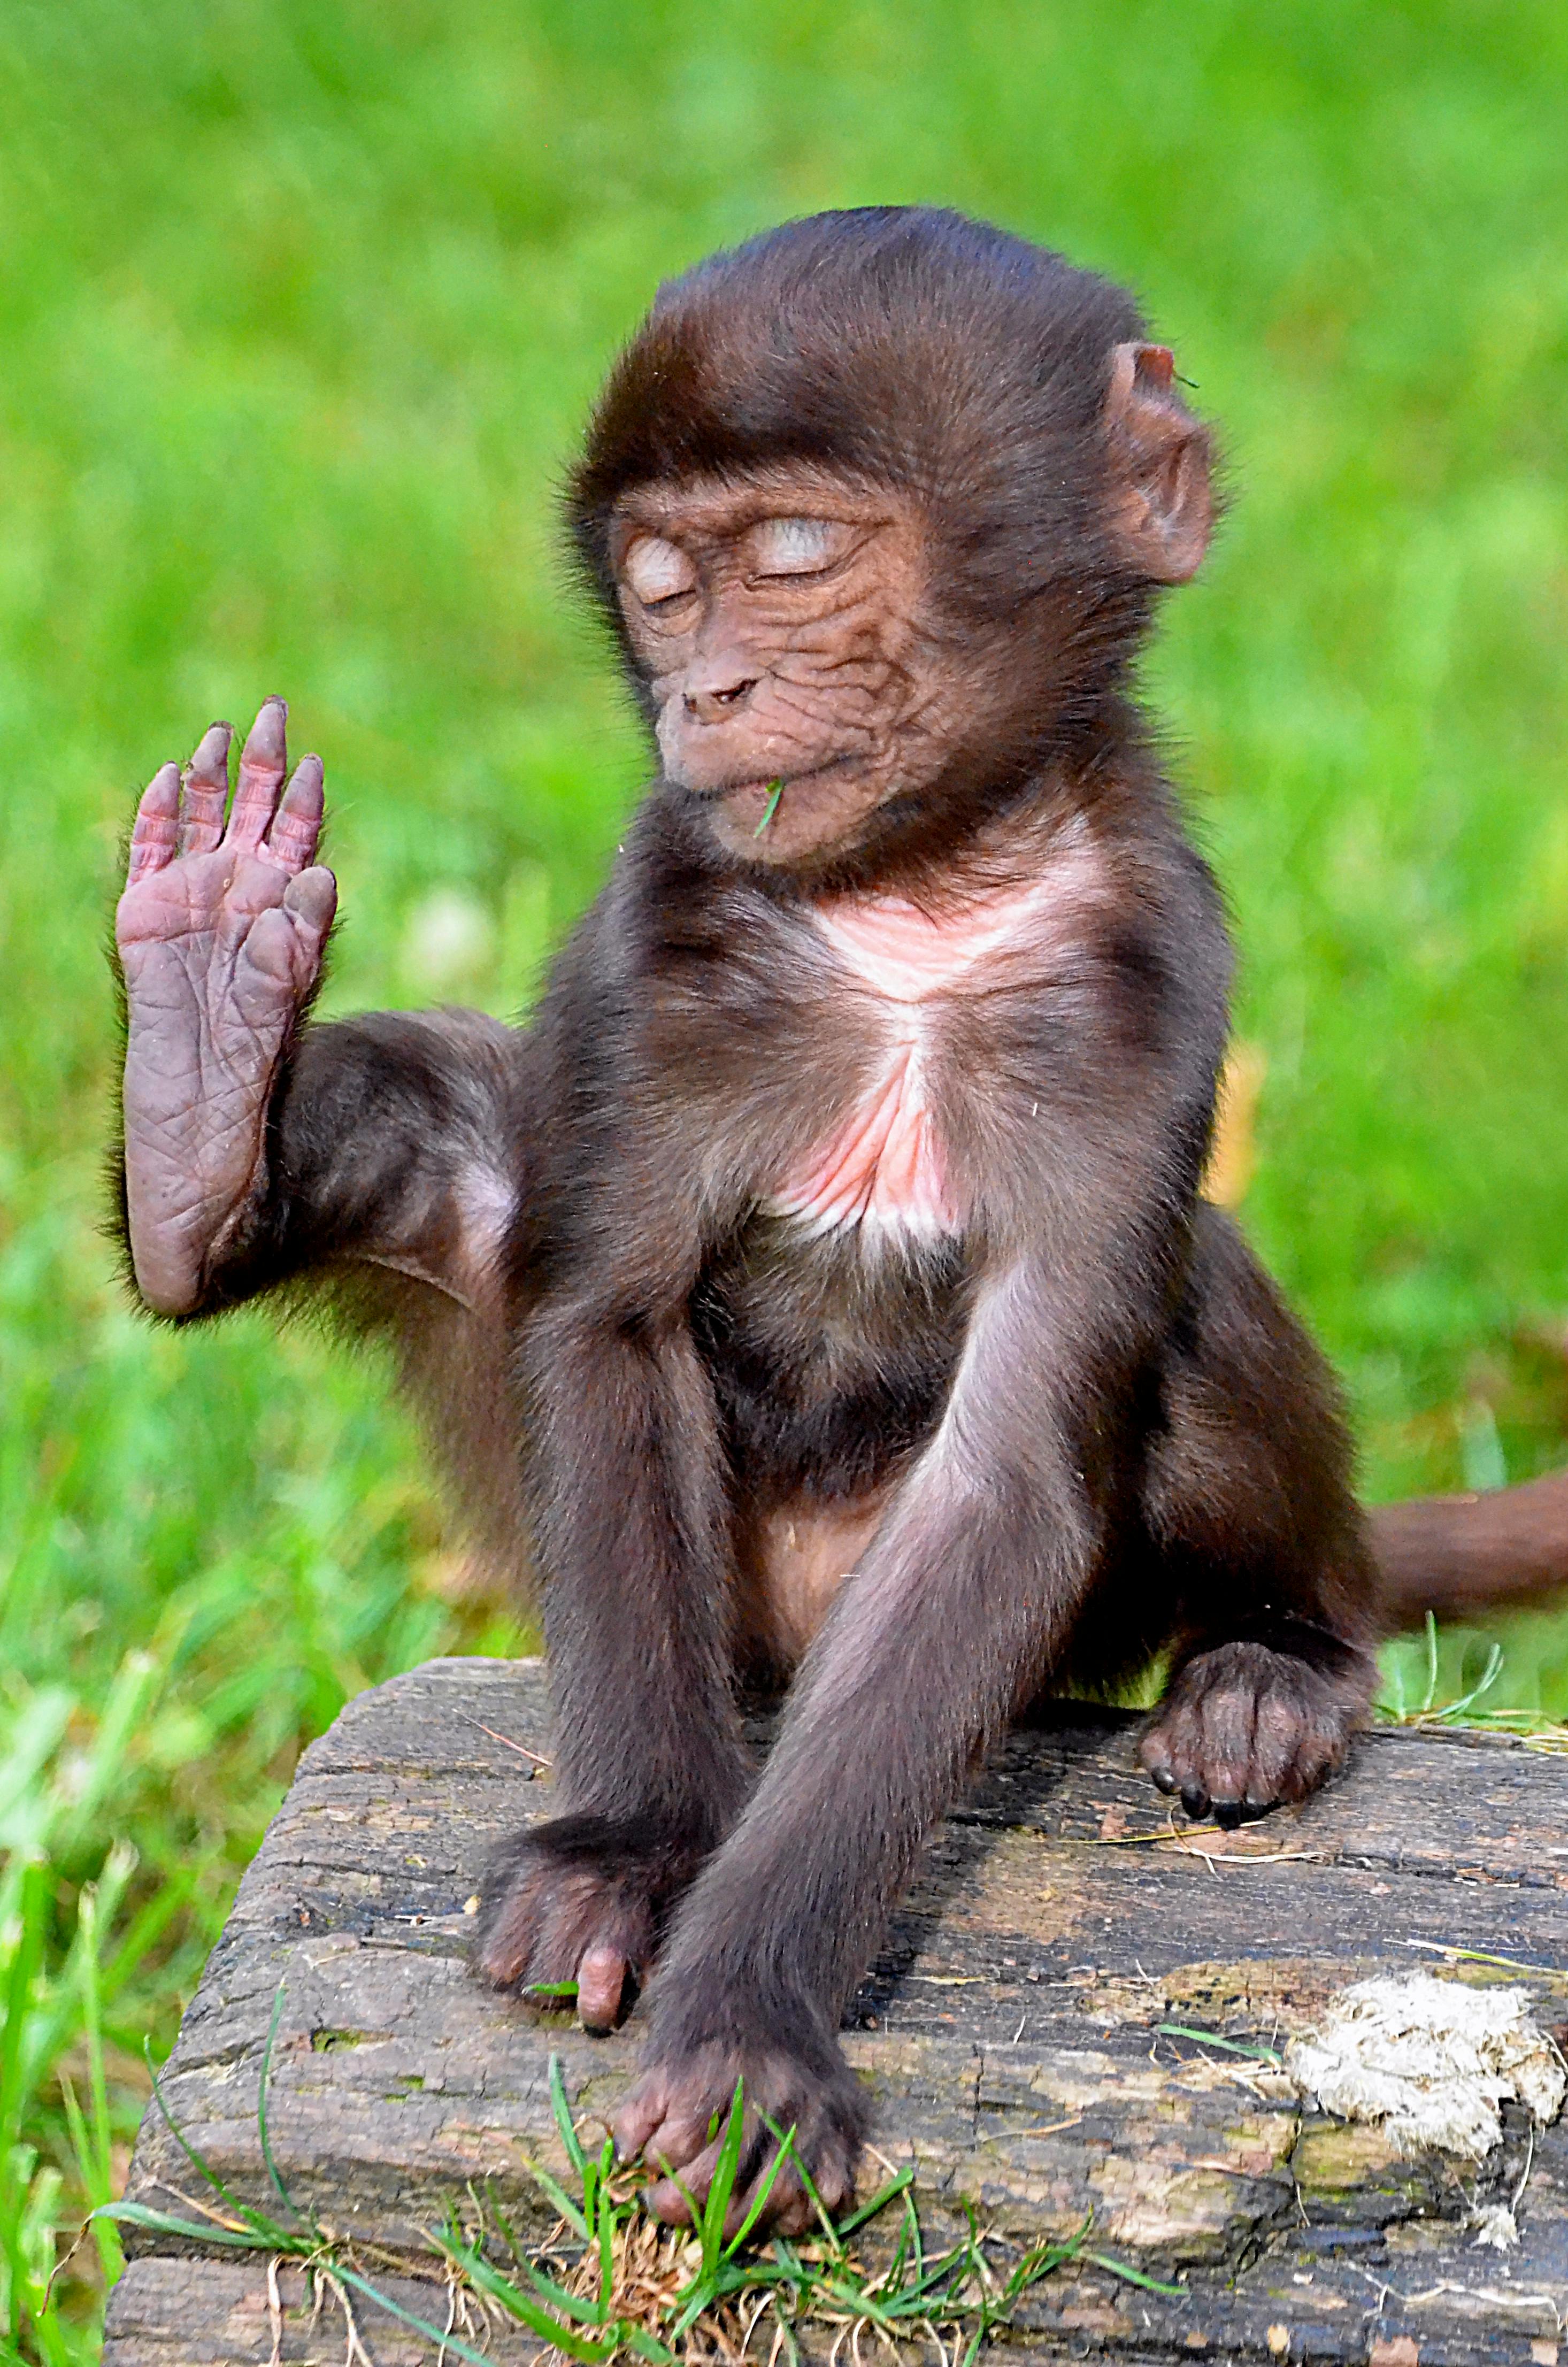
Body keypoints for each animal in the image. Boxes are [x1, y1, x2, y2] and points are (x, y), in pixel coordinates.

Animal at [111, 207, 1568, 2237]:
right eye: (658, 585)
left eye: (794, 556)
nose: (704, 692)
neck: (911, 902)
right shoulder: (663, 924)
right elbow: (602, 1325)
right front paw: (631, 1852)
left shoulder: (1155, 982)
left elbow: (1011, 1474)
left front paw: (743, 2018)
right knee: (479, 1158)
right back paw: (201, 1111)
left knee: (1191, 1303)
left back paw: (1281, 1656)